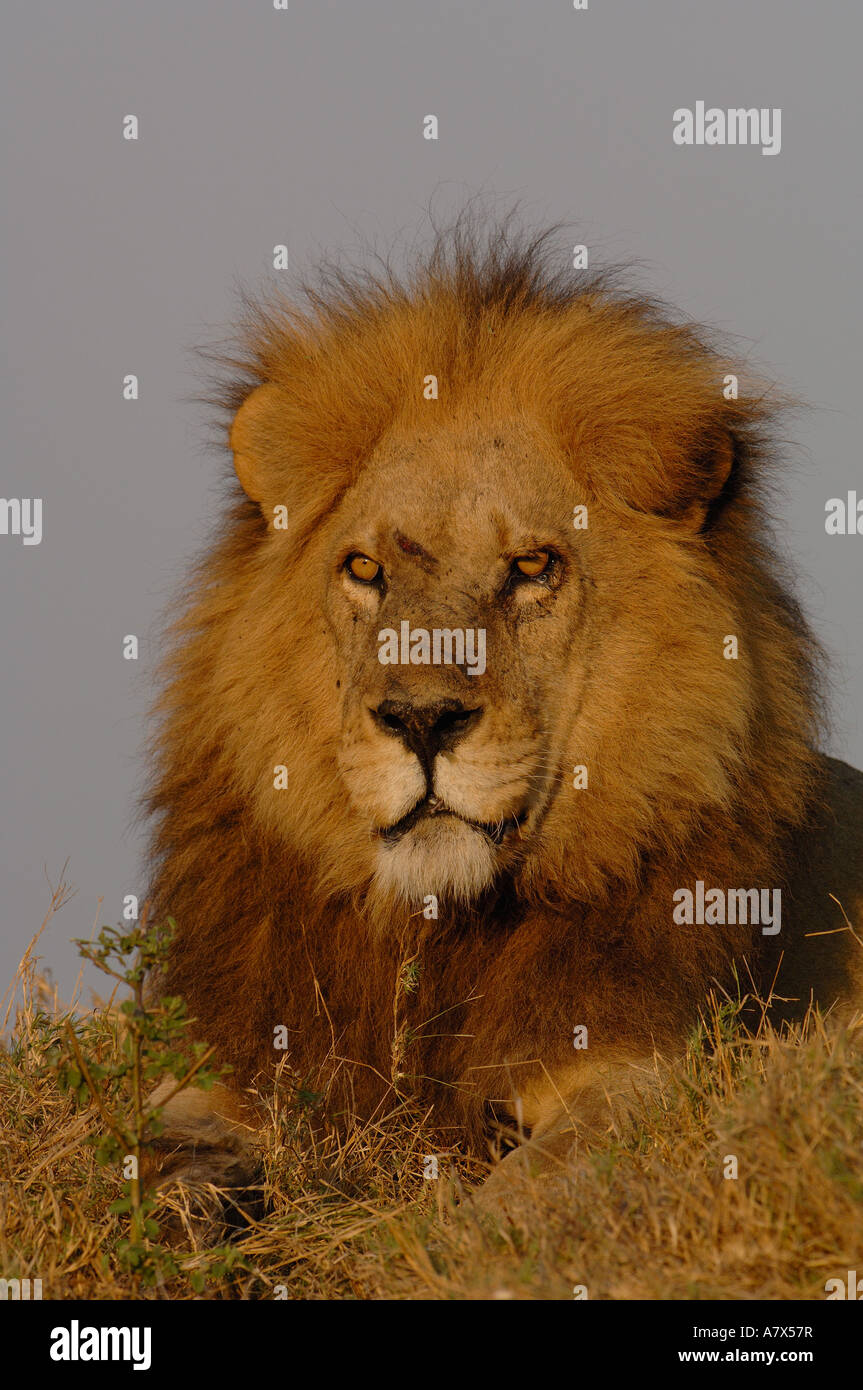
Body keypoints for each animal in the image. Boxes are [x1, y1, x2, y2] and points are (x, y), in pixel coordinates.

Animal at [143, 220, 863, 1210]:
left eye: (530, 567)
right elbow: (149, 1149)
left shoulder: (641, 1071)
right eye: (363, 569)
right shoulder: (229, 1061)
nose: (420, 722)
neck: (438, 937)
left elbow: (522, 1191)